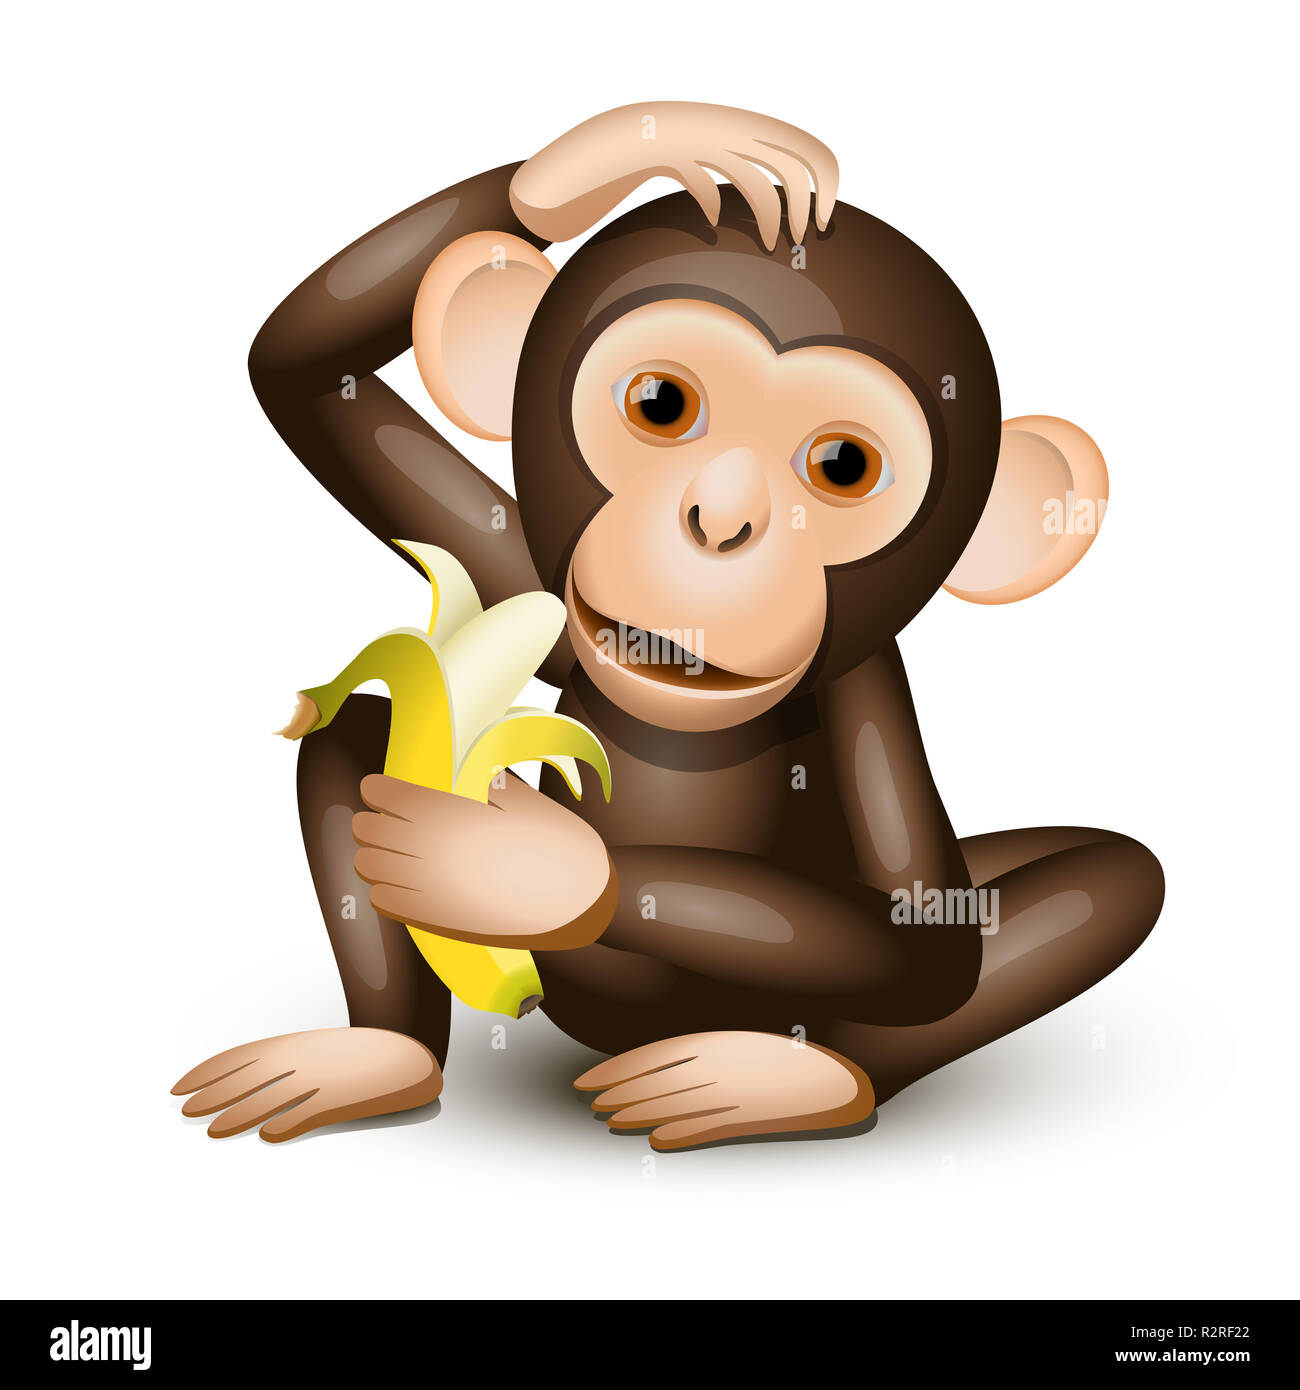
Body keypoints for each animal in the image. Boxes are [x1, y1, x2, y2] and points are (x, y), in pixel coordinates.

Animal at [172, 105, 1163, 1151]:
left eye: (843, 466)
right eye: (661, 405)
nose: (719, 522)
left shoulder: (869, 688)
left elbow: (923, 937)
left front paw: (526, 869)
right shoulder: (523, 576)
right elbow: (303, 379)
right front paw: (637, 149)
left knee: (1115, 873)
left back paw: (785, 1075)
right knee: (357, 732)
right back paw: (381, 1055)